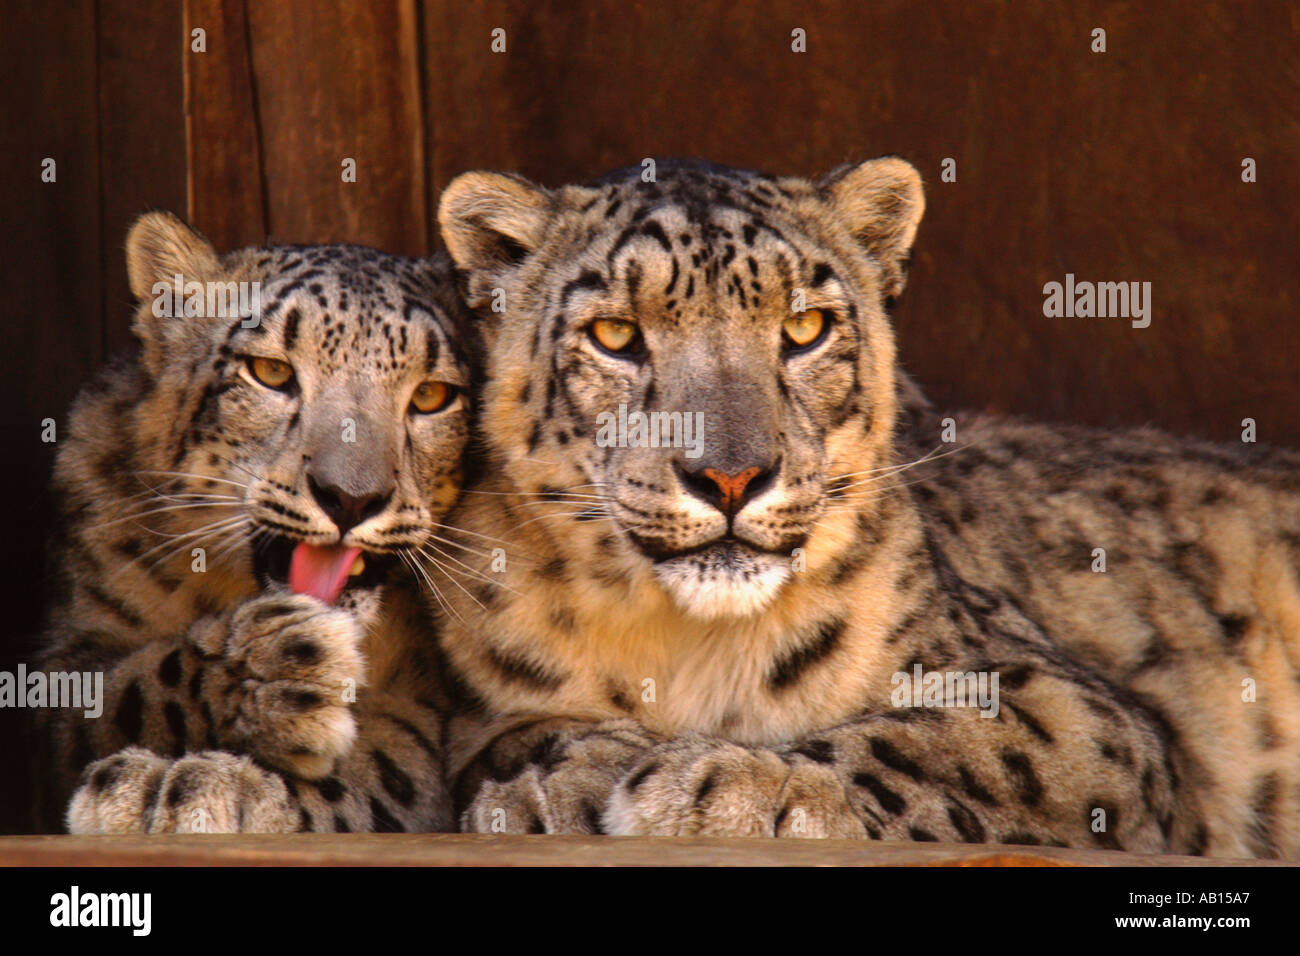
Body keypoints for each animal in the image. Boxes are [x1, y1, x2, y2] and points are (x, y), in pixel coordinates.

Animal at [32, 211, 475, 834]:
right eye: (270, 371)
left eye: (433, 395)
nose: (351, 498)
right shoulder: (70, 657)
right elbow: (130, 690)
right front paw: (280, 669)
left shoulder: (423, 715)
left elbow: (375, 773)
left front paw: (194, 786)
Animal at [430, 157, 1300, 857]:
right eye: (615, 333)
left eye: (806, 326)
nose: (732, 476)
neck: (690, 648)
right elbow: (515, 735)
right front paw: (560, 779)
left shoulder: (1079, 711)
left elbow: (953, 744)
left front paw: (734, 786)